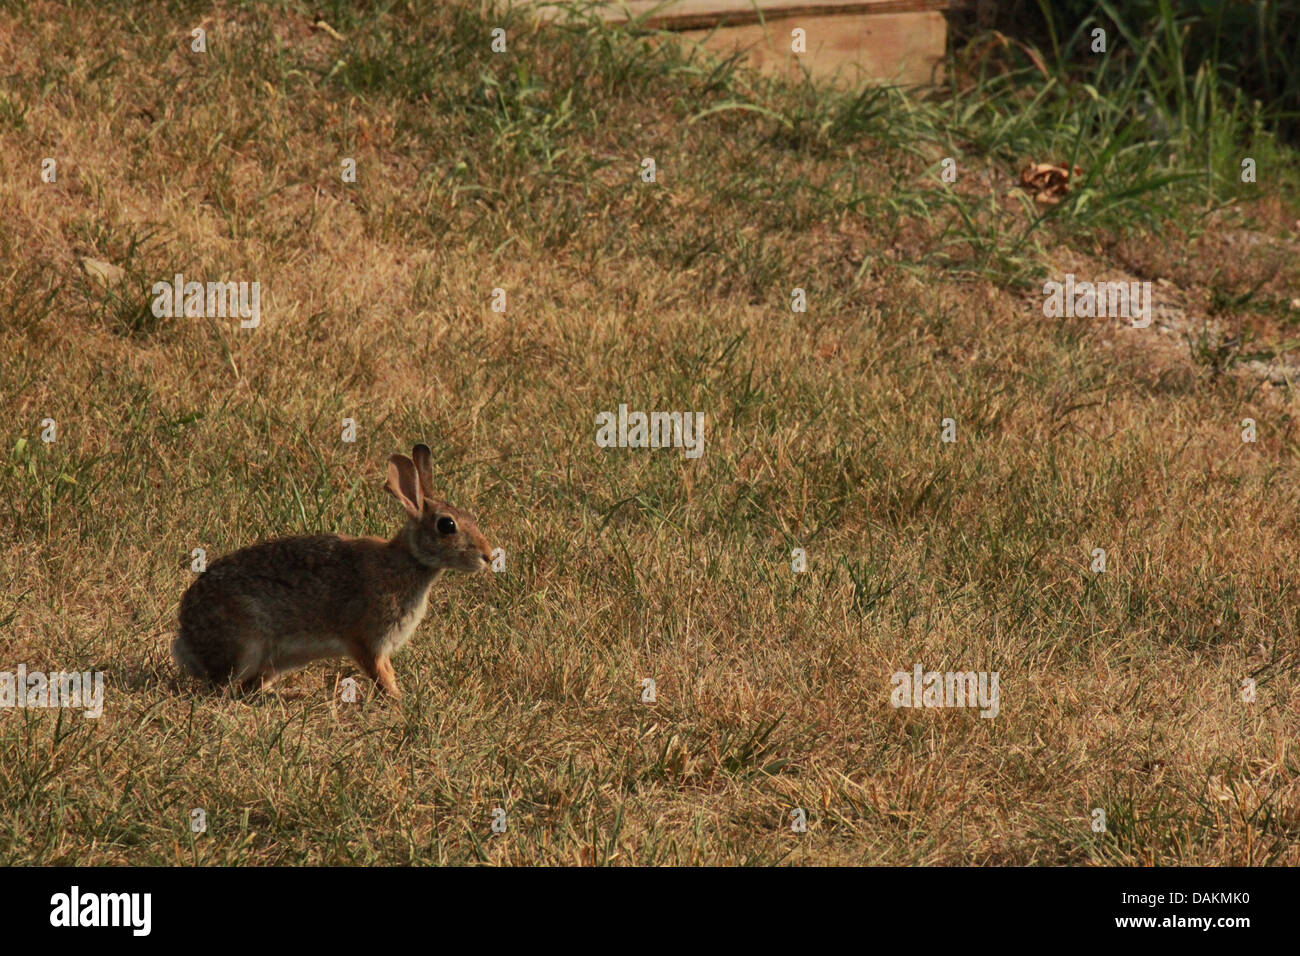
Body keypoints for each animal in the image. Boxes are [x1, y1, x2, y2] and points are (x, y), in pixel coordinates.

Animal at [172, 443, 492, 698]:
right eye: (447, 525)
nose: (488, 556)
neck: (409, 560)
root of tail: (186, 638)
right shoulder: (365, 639)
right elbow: (380, 673)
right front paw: (398, 701)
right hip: (246, 645)